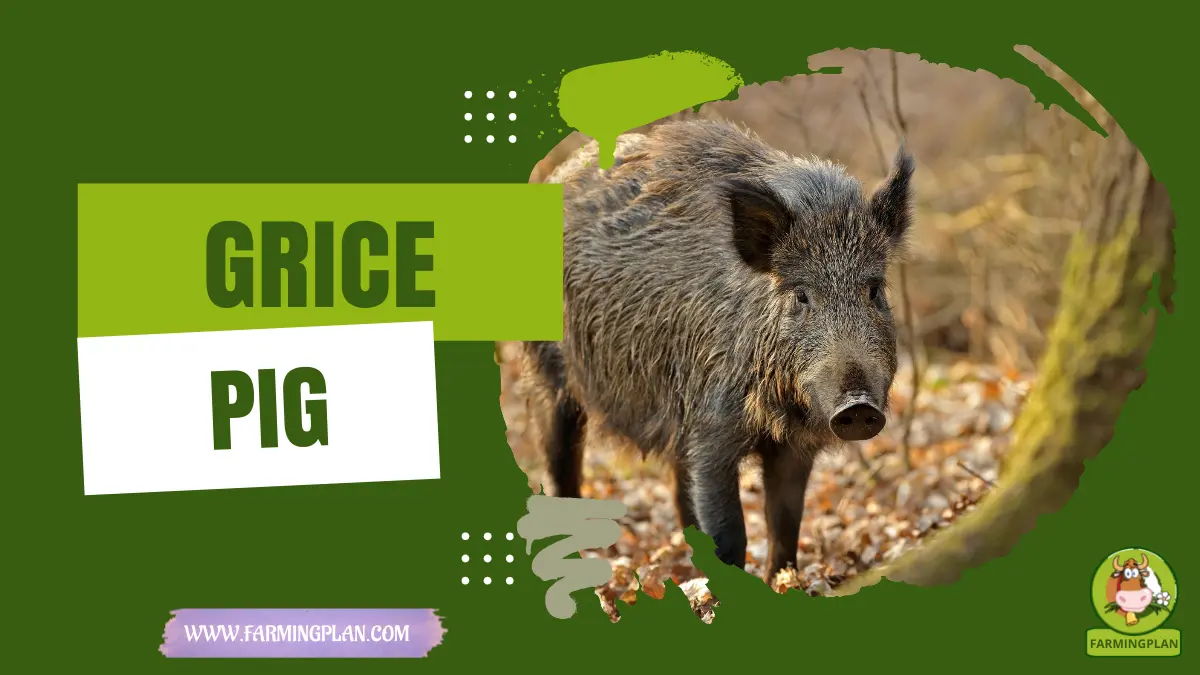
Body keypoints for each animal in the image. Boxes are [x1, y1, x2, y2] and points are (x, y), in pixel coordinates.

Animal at [515, 119, 914, 582]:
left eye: (875, 291)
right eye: (801, 296)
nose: (858, 405)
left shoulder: (791, 447)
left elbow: (786, 522)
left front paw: (784, 582)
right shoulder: (710, 427)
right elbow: (729, 532)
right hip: (550, 376)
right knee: (562, 468)